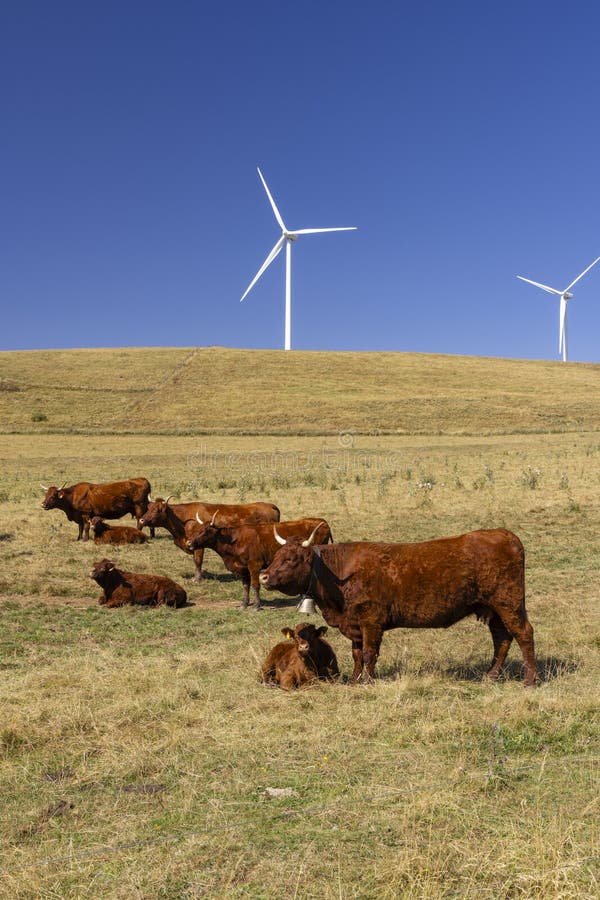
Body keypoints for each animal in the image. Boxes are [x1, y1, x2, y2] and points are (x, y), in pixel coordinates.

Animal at [138, 497, 280, 582]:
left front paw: (197, 579)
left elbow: (198, 561)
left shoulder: (198, 545)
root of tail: (270, 505)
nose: (141, 520)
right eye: (149, 508)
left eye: (157, 510)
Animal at [186, 515, 333, 609]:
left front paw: (257, 605)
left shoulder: (254, 565)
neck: (235, 540)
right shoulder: (242, 569)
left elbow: (255, 585)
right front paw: (244, 604)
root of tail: (322, 521)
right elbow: (245, 586)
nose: (189, 542)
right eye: (197, 529)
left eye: (204, 531)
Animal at [259, 528, 537, 686]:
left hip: (509, 603)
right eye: (275, 556)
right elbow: (357, 654)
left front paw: (368, 680)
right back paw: (491, 675)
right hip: (495, 609)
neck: (339, 573)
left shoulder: (371, 621)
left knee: (524, 634)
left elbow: (369, 653)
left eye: (291, 558)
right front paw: (355, 679)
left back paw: (530, 680)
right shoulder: (355, 625)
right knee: (502, 639)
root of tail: (504, 534)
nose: (263, 576)